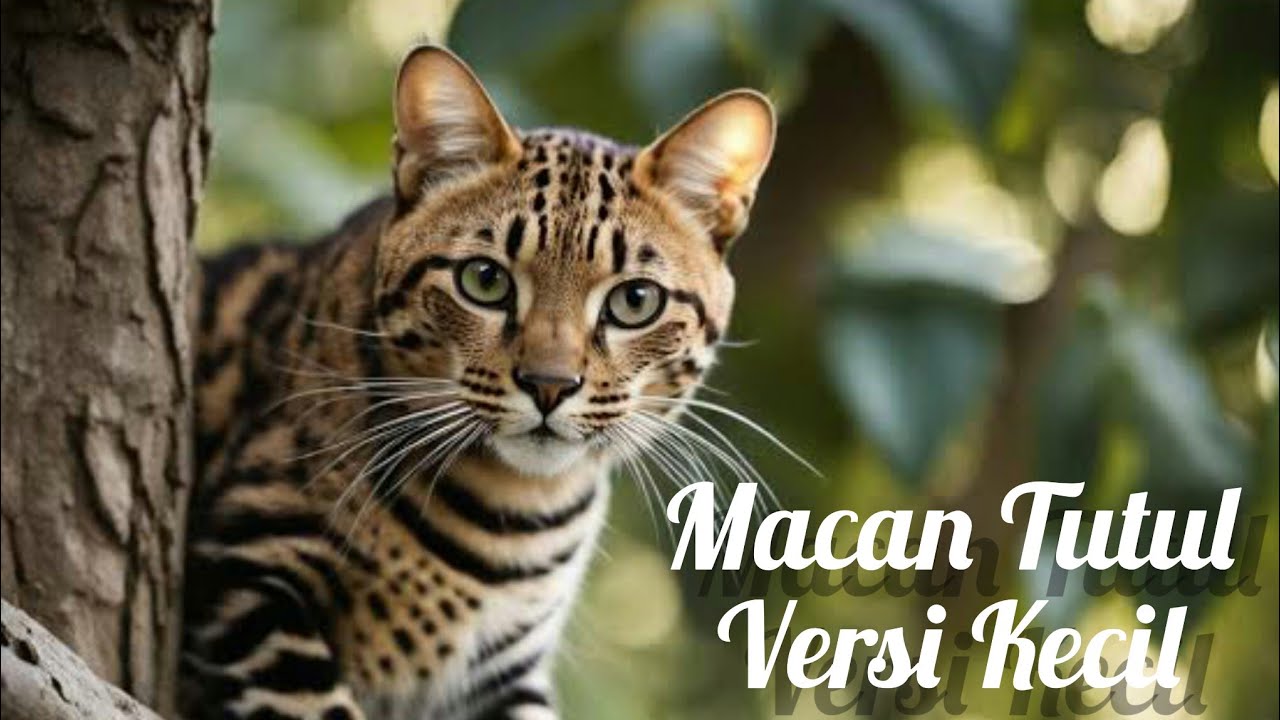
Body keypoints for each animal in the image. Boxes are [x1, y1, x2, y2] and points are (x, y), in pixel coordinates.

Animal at [181, 44, 774, 720]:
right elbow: (320, 708)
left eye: (635, 301)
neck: (519, 510)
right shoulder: (246, 561)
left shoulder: (505, 670)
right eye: (485, 281)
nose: (549, 384)